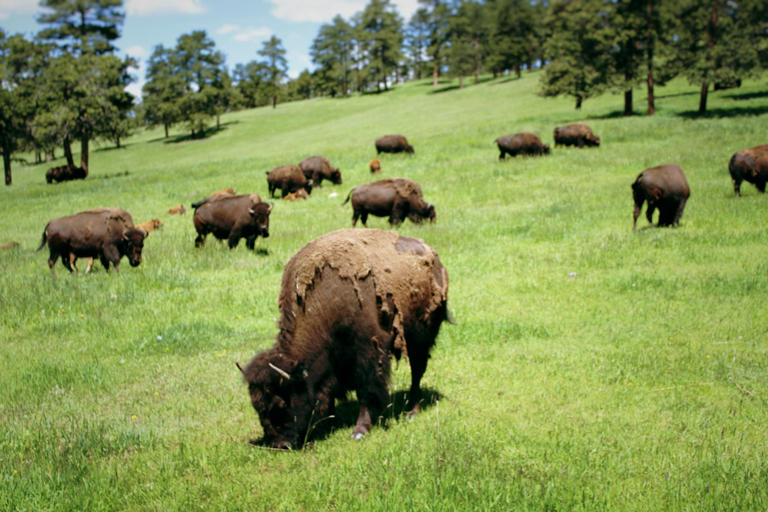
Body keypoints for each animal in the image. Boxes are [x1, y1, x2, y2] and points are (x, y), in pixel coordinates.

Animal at [241, 228, 450, 449]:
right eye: (256, 406)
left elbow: (366, 390)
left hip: (420, 338)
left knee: (417, 371)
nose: (281, 444)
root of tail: (435, 259)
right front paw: (329, 421)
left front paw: (360, 430)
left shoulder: (369, 352)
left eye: (281, 403)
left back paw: (412, 411)